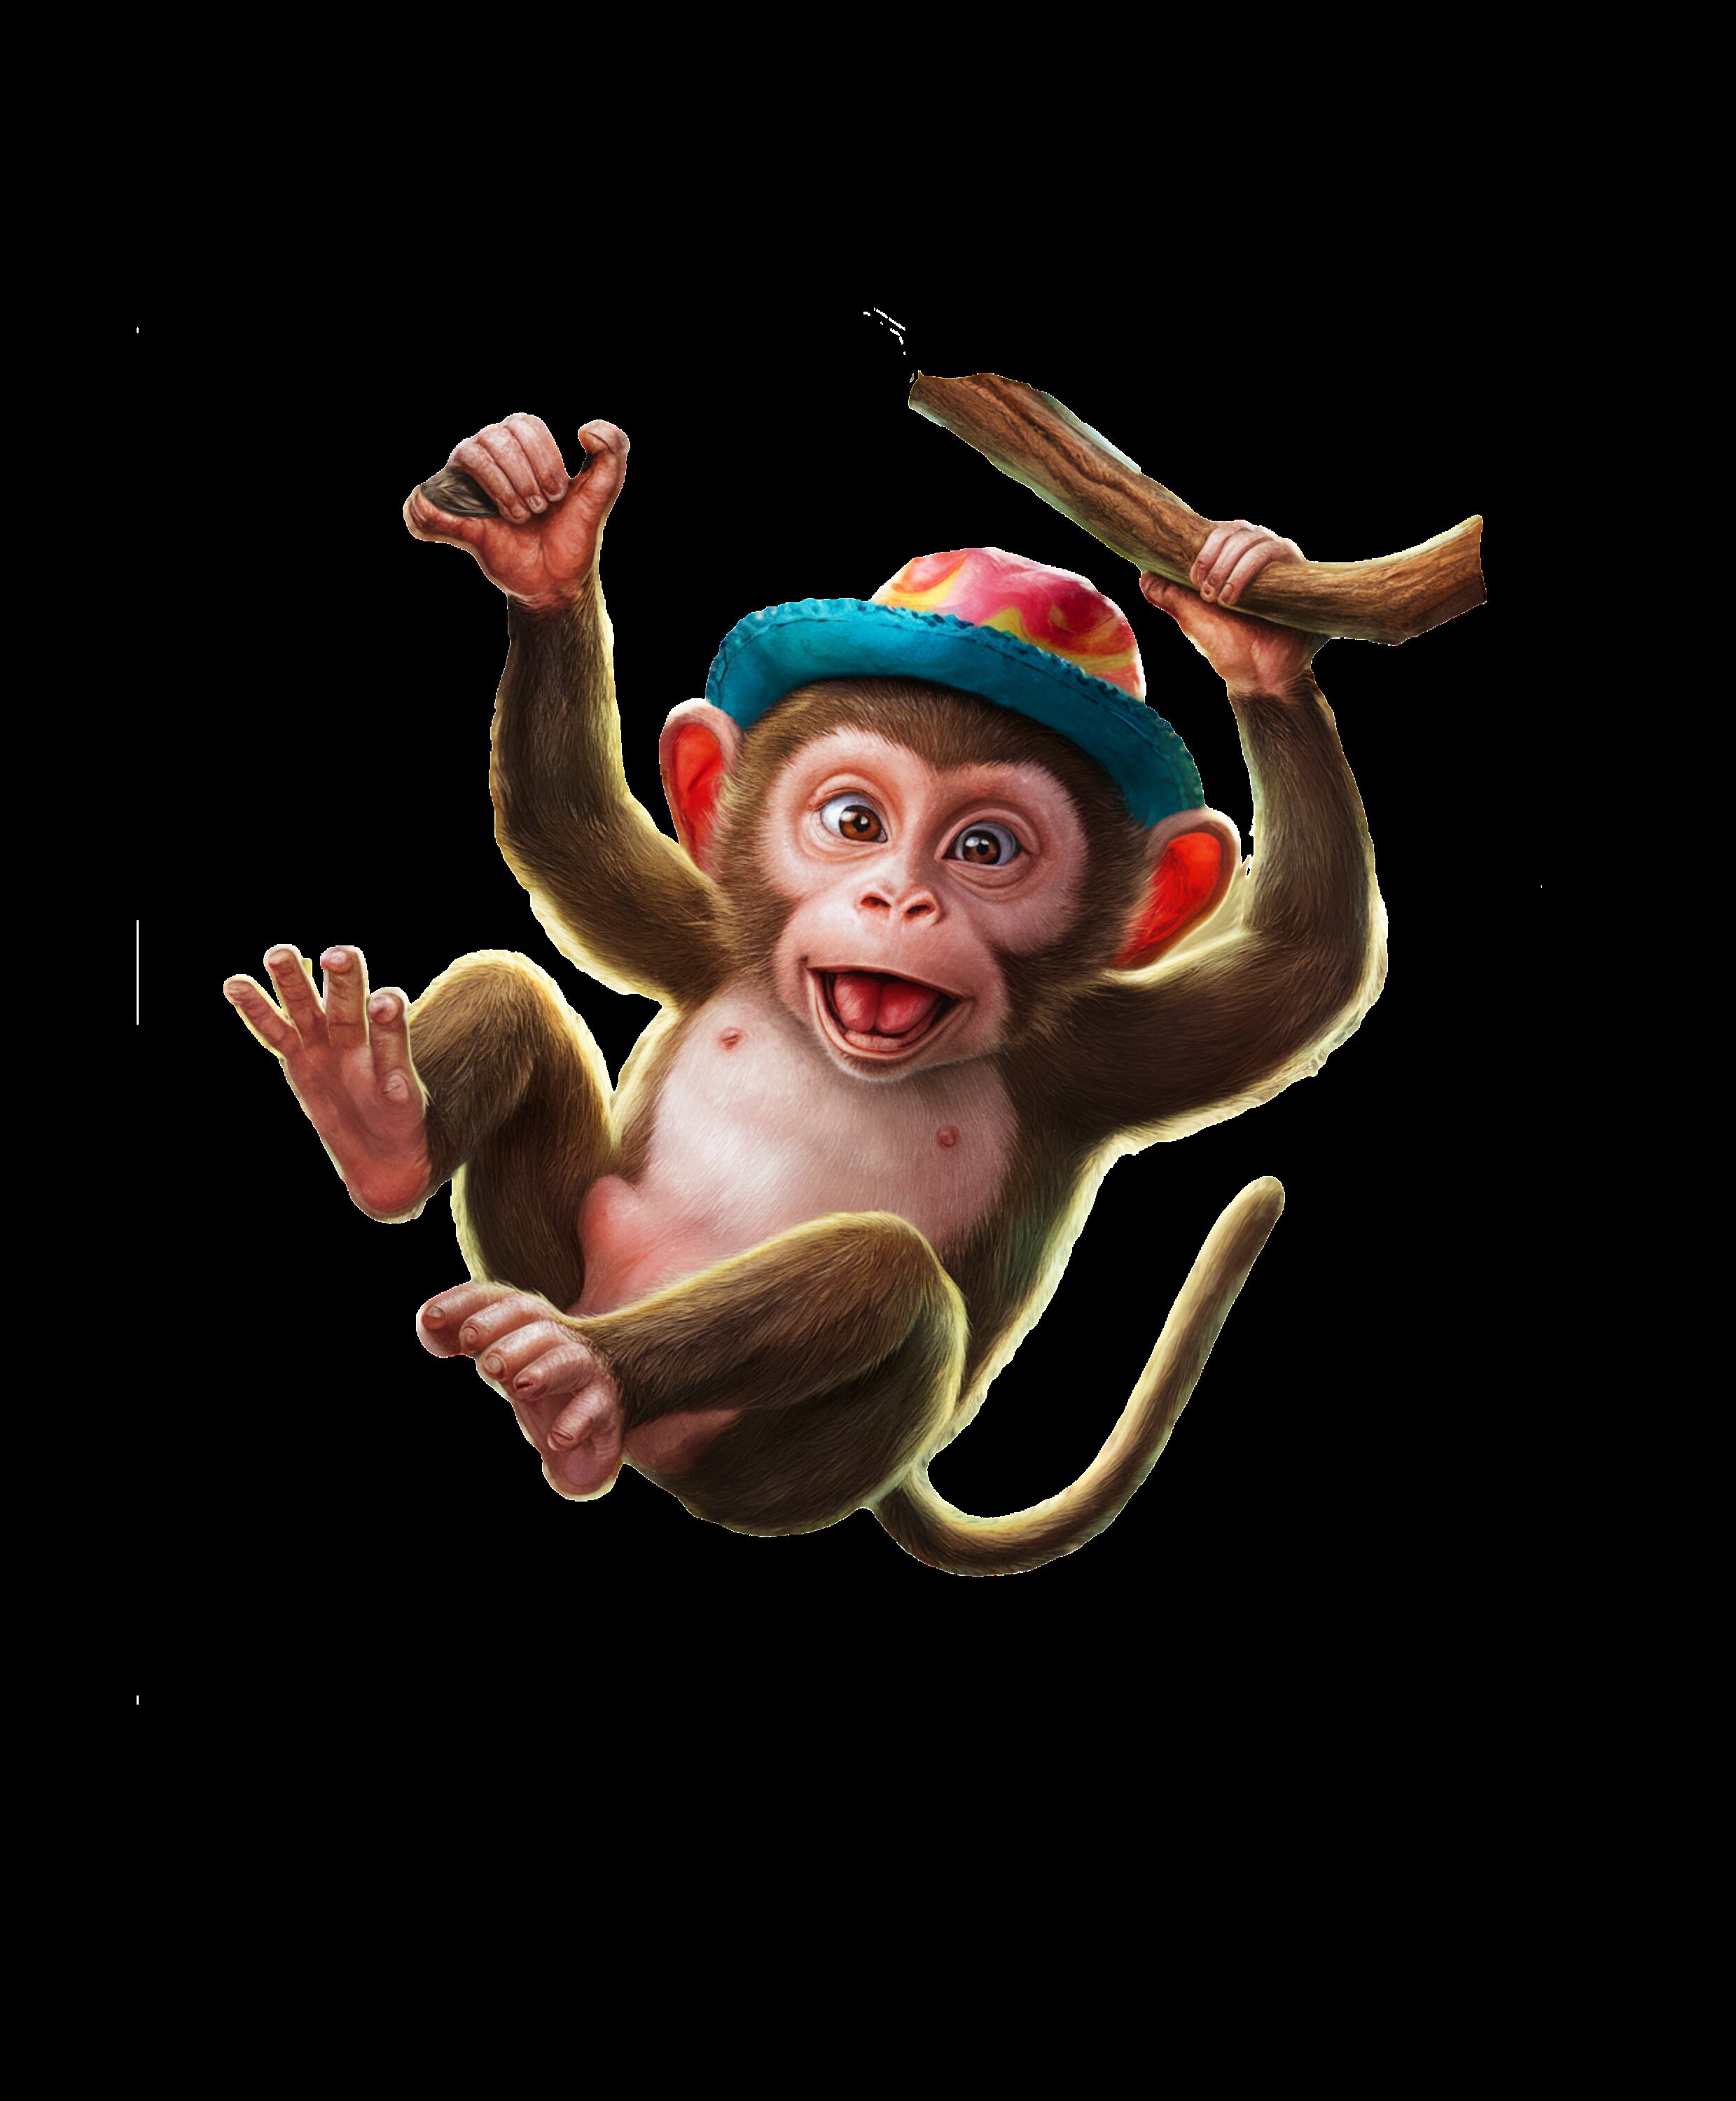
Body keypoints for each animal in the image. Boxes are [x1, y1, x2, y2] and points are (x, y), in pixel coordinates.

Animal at [222, 410, 1385, 1575]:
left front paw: (1255, 641)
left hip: (776, 1467)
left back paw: (580, 1380)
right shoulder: (720, 942)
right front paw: (541, 544)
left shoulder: (1085, 1058)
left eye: (984, 850)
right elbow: (569, 831)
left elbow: (1305, 974)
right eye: (854, 823)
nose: (897, 899)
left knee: (893, 1283)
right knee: (509, 993)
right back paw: (378, 1129)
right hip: (559, 1254)